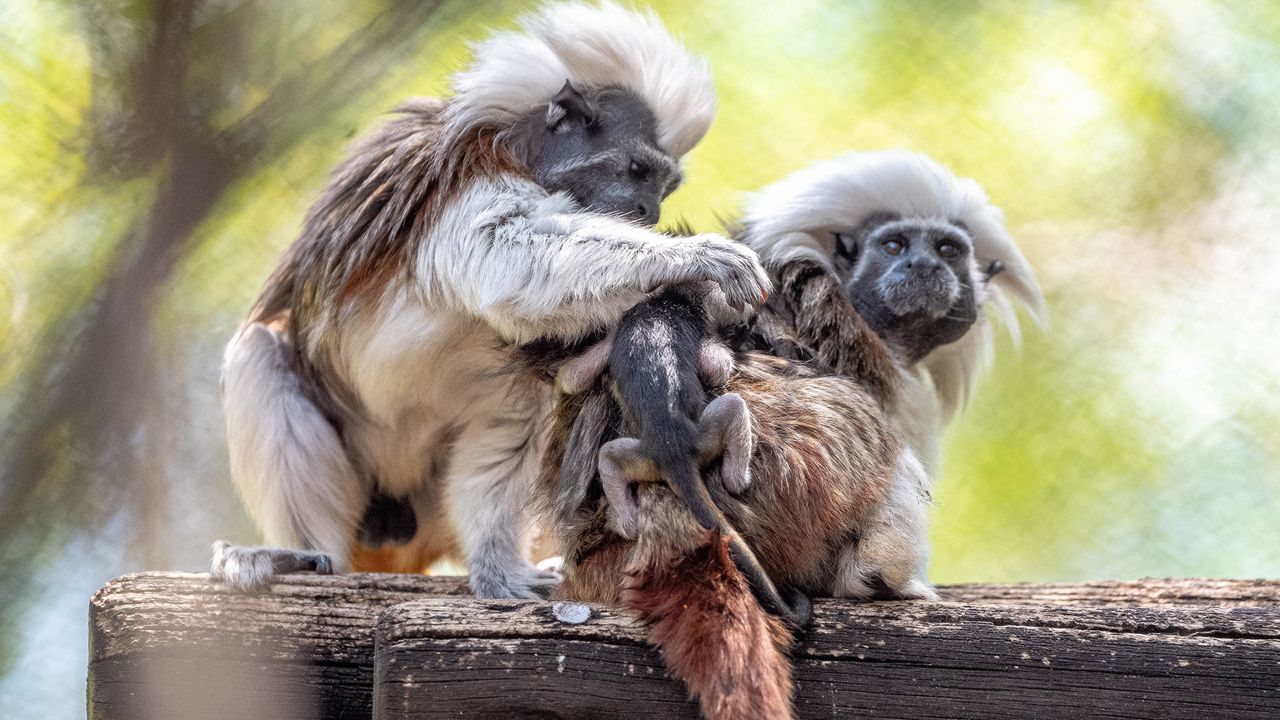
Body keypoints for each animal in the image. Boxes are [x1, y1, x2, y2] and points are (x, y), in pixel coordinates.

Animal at [211, 2, 772, 598]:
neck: (524, 156)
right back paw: (306, 553)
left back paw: (497, 564)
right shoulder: (469, 177)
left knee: (519, 407)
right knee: (260, 350)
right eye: (636, 171)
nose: (649, 211)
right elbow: (506, 255)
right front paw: (697, 258)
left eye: (663, 188)